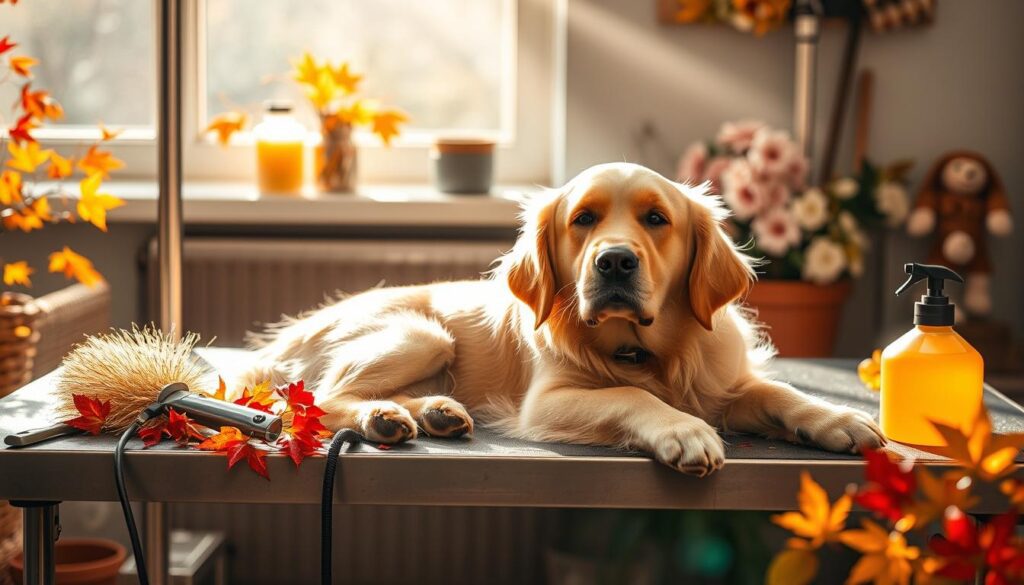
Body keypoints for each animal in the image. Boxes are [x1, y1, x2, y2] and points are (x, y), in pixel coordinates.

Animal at [243, 161, 884, 475]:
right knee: (320, 398)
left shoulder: (722, 383)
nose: (615, 261)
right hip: (421, 334)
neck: (647, 350)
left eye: (657, 219)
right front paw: (681, 430)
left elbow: (779, 392)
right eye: (584, 219)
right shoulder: (546, 402)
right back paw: (383, 417)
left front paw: (837, 419)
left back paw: (432, 413)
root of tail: (285, 339)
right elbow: (631, 396)